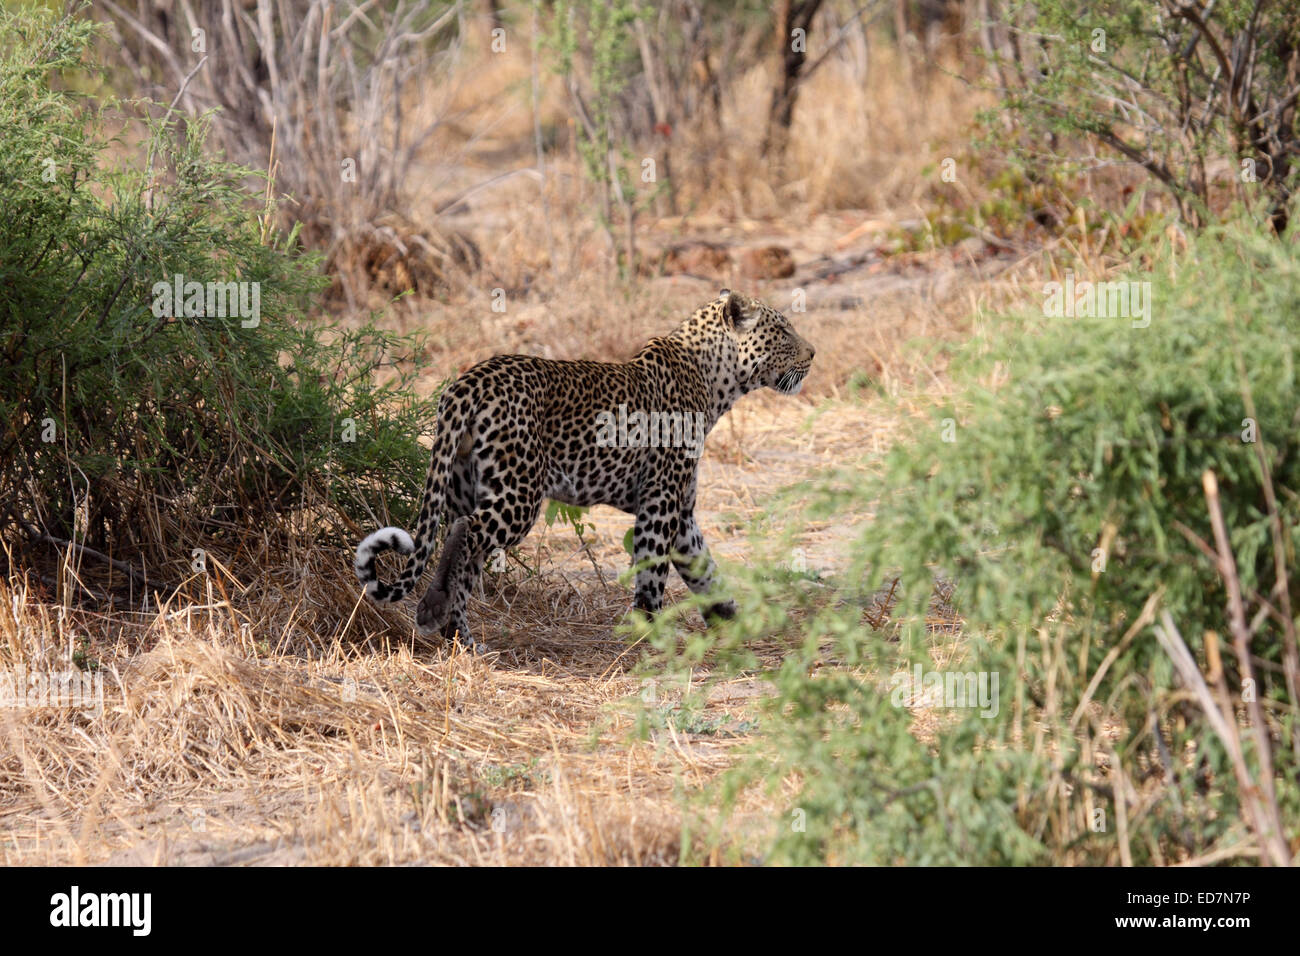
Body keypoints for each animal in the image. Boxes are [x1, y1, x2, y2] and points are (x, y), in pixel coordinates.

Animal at [354, 289, 815, 649]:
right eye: (784, 332)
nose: (813, 353)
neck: (715, 380)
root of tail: (468, 382)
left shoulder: (680, 510)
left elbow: (705, 571)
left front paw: (732, 621)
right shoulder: (662, 502)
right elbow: (652, 574)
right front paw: (651, 633)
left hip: (464, 482)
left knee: (464, 552)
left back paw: (462, 640)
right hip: (519, 492)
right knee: (467, 531)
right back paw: (434, 610)